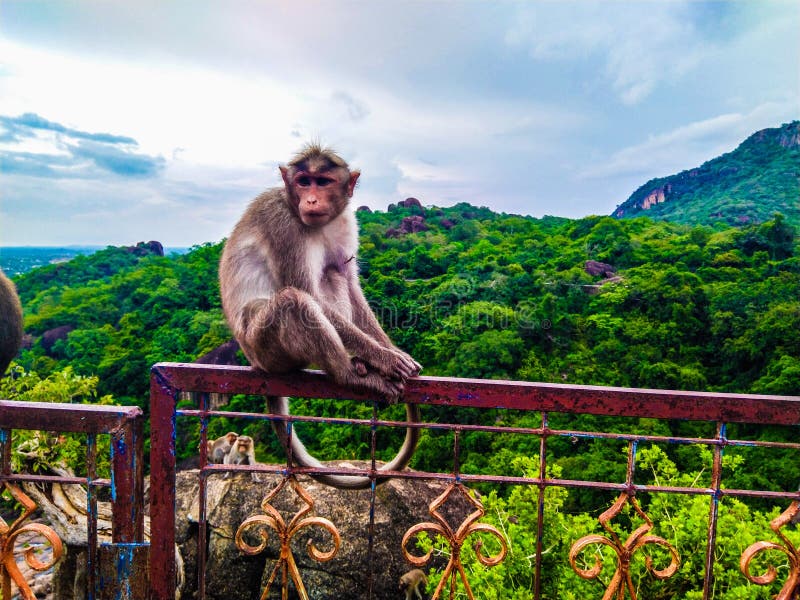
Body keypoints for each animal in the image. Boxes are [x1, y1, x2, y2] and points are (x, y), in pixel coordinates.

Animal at [219, 143, 422, 489]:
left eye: (323, 181)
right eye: (304, 181)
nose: (311, 200)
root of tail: (255, 363)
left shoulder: (345, 222)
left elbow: (349, 280)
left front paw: (388, 350)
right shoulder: (284, 225)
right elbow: (306, 291)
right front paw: (384, 358)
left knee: (332, 274)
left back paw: (358, 364)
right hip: (266, 347)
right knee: (293, 302)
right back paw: (349, 373)